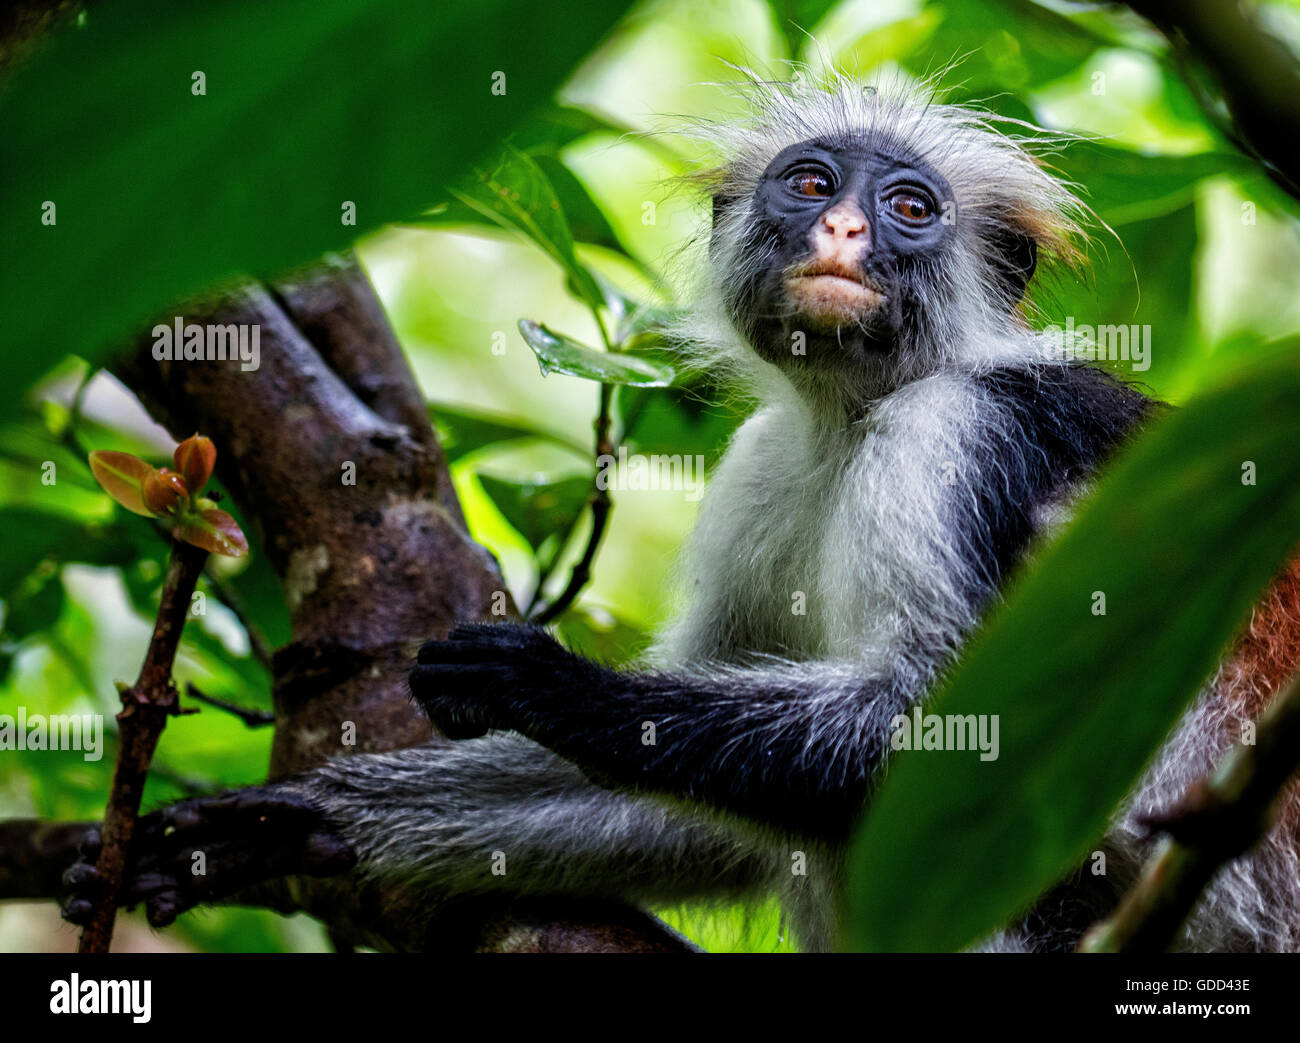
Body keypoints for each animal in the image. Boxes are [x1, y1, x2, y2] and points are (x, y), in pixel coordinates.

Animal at [61, 71, 1300, 952]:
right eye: (813, 184)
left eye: (908, 206)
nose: (845, 233)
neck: (855, 414)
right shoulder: (763, 467)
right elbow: (702, 816)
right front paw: (287, 829)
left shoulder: (957, 437)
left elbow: (956, 741)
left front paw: (553, 685)